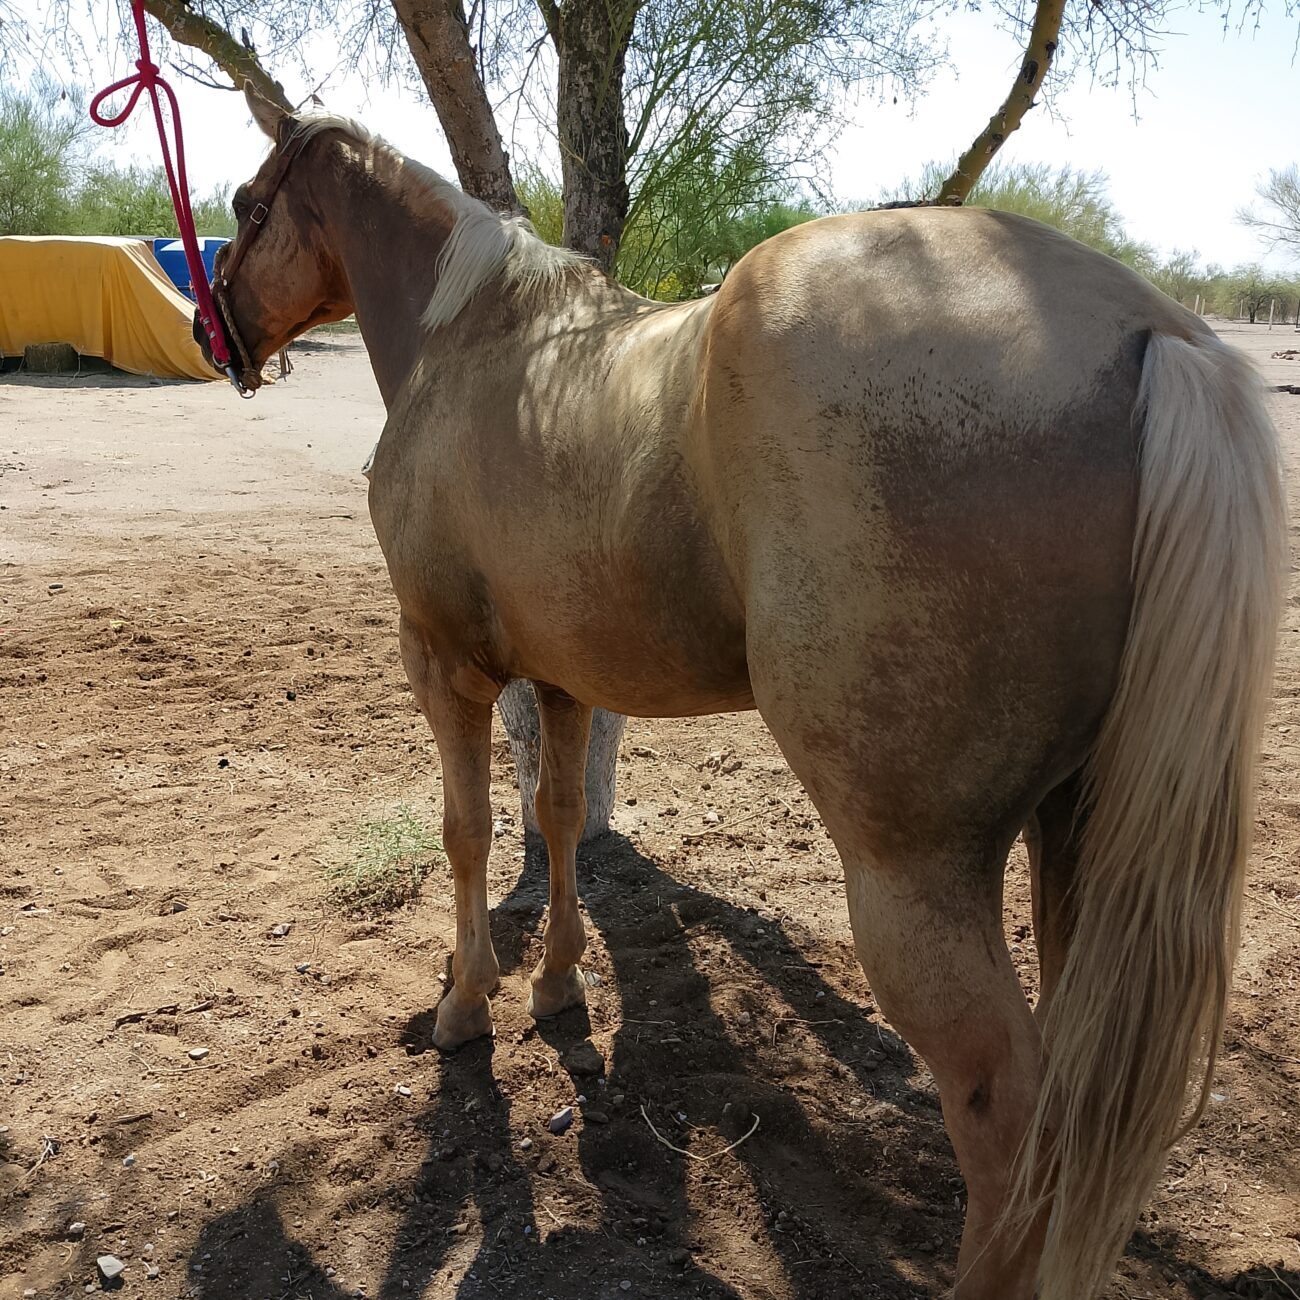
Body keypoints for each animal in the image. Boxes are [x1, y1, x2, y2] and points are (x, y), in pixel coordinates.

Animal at [196, 85, 1286, 1299]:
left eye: (245, 205)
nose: (212, 333)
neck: (473, 339)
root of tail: (1150, 328)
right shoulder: (565, 681)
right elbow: (559, 820)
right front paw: (556, 990)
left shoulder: (444, 665)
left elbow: (468, 832)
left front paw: (466, 1004)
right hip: (1077, 840)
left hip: (912, 871)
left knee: (1009, 1118)